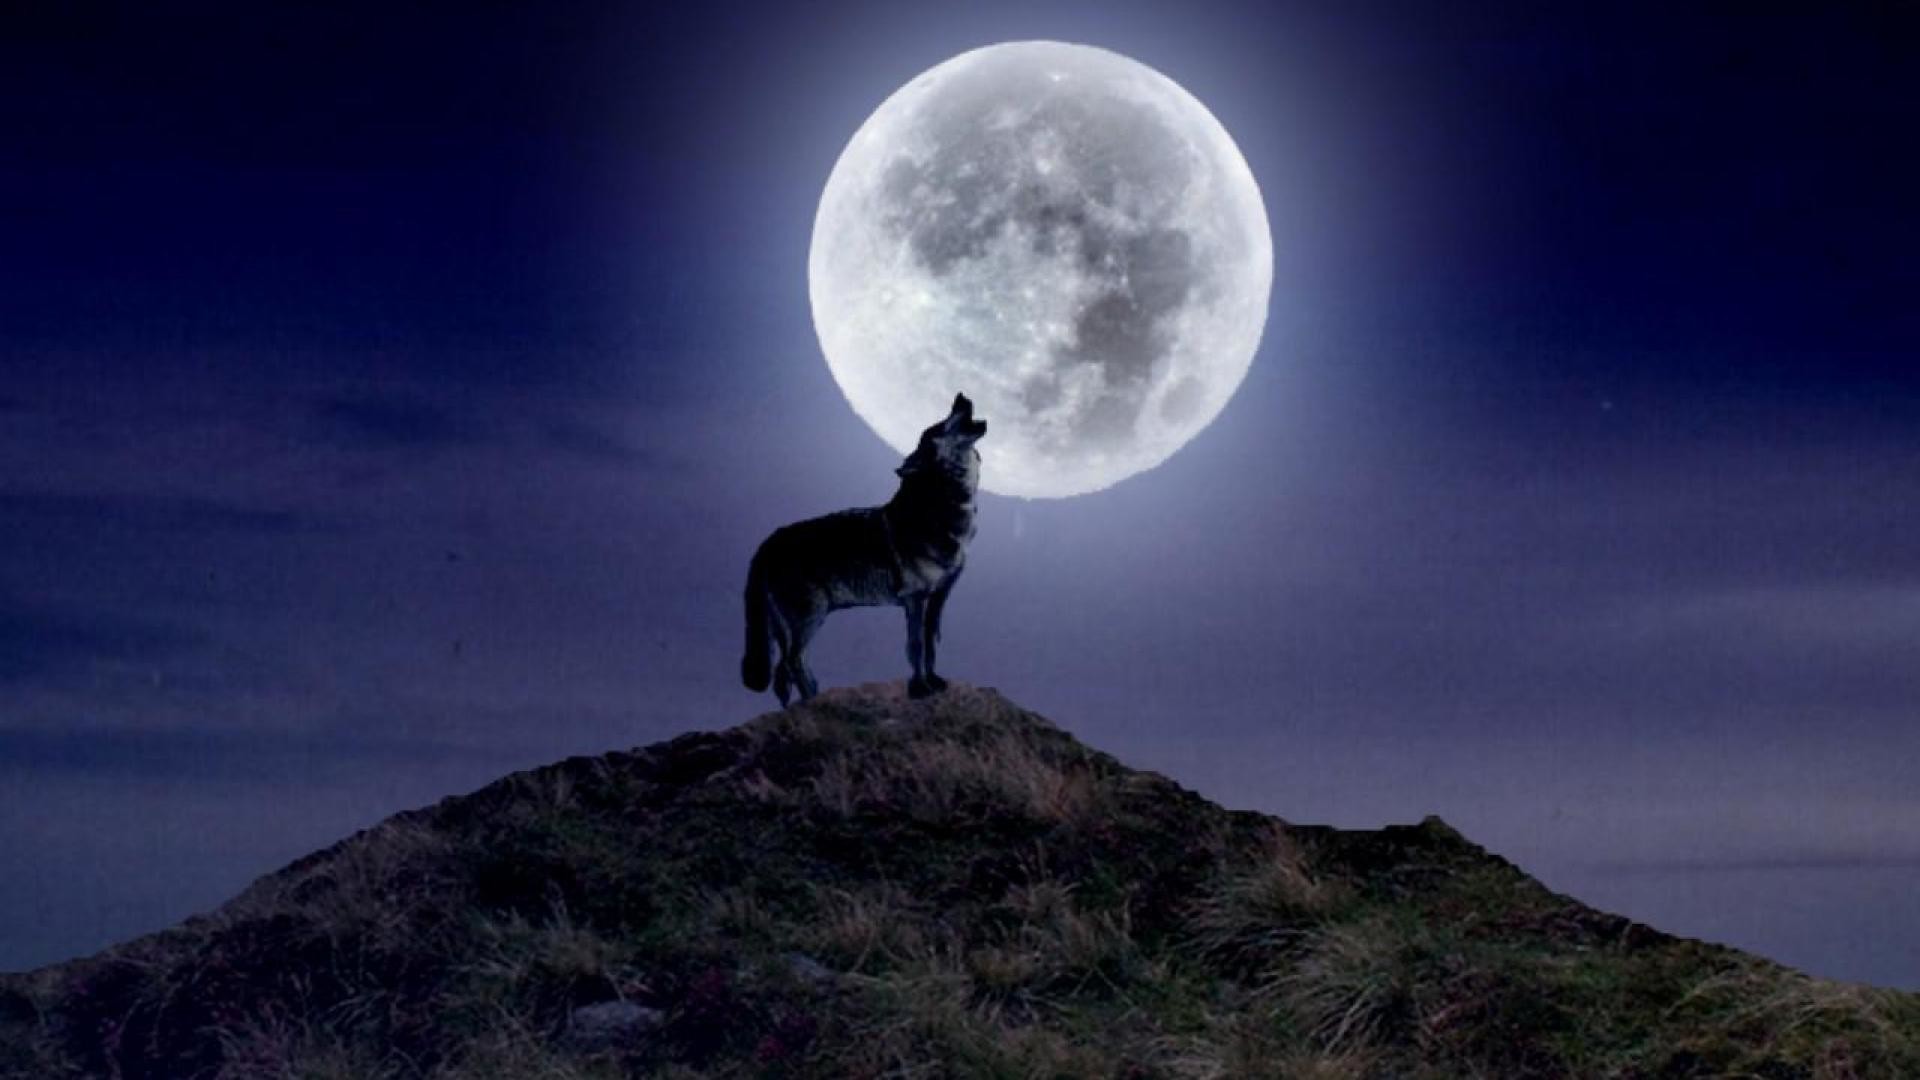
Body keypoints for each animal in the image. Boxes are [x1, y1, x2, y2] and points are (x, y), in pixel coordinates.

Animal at [741, 393, 987, 705]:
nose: (961, 396)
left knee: (783, 672)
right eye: (940, 426)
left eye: (944, 418)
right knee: (792, 663)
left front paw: (934, 682)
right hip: (811, 616)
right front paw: (920, 689)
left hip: (791, 624)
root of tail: (766, 544)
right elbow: (916, 645)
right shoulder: (914, 598)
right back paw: (814, 702)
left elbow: (932, 643)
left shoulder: (939, 597)